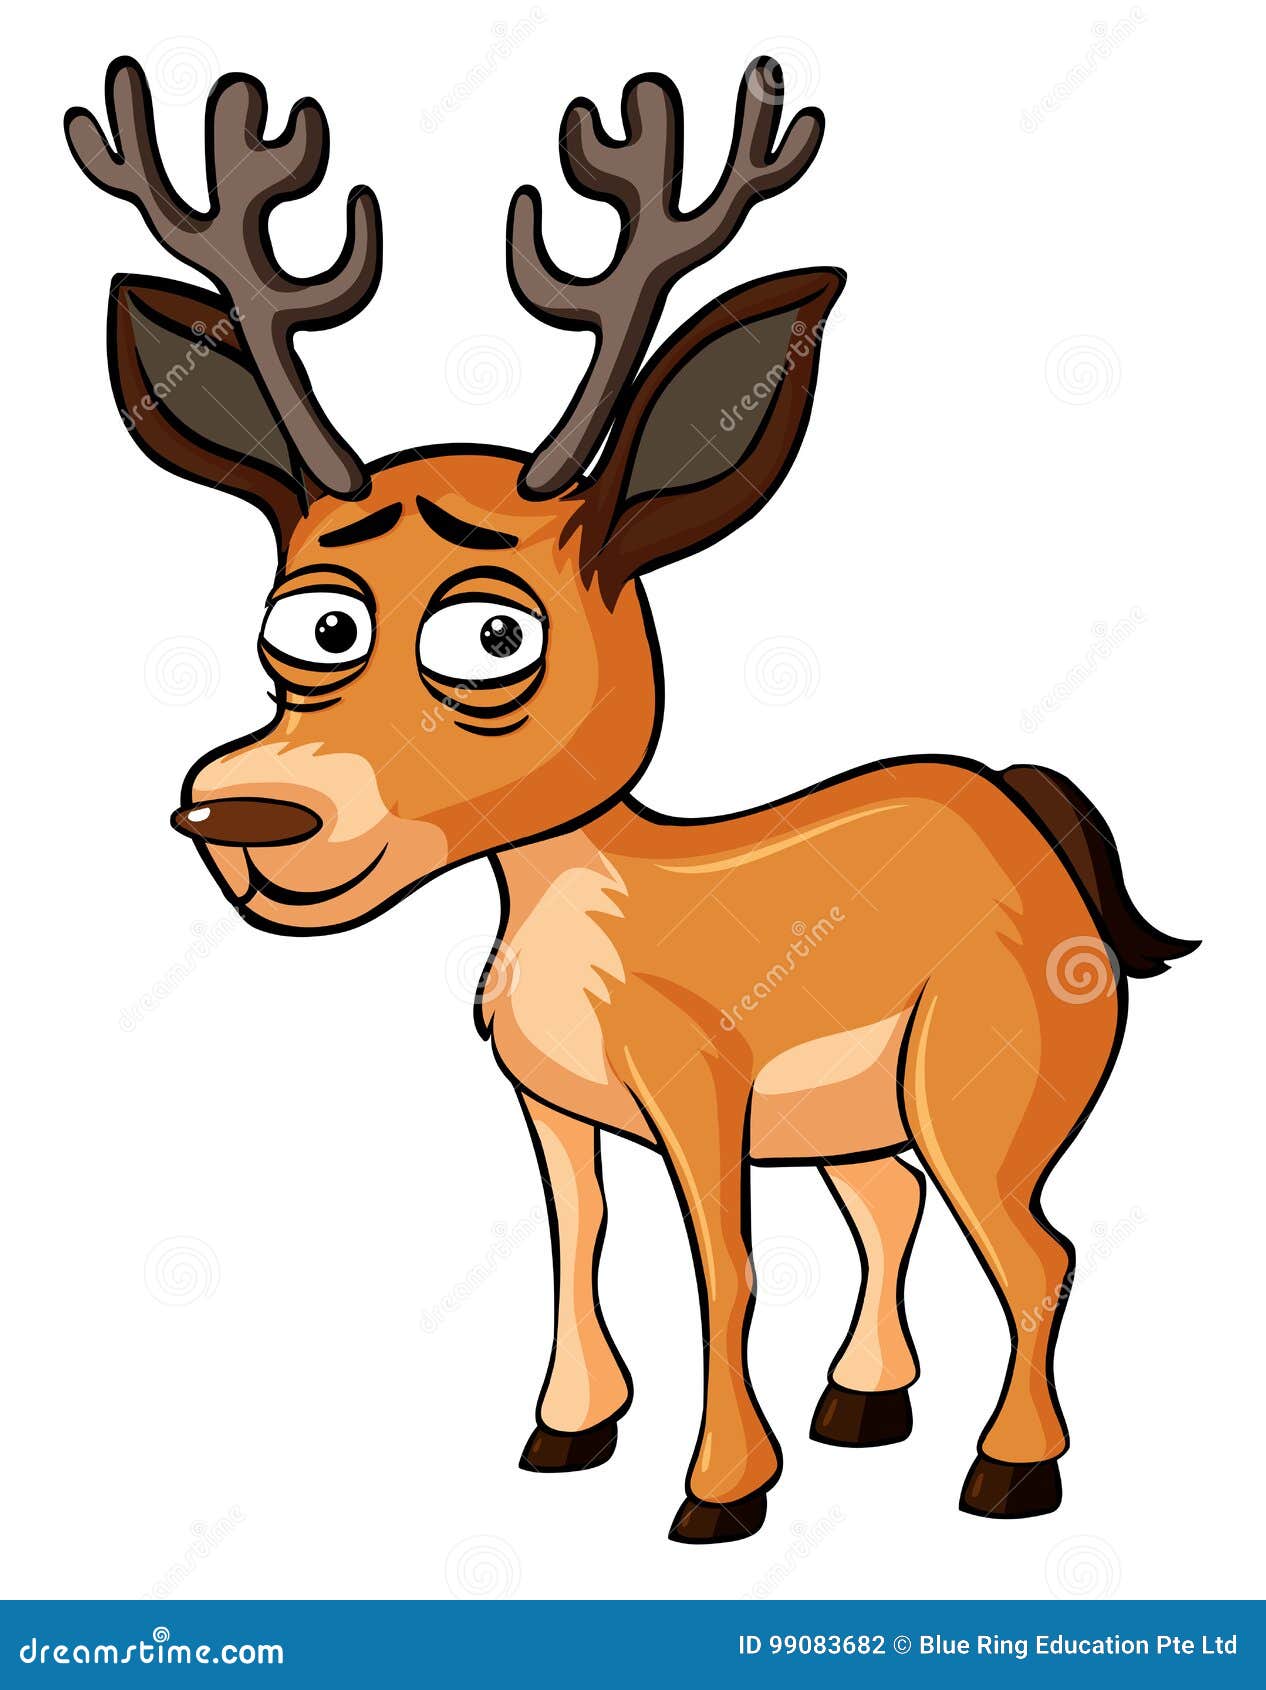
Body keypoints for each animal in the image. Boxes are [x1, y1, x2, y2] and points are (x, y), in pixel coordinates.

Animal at [66, 55, 1195, 1545]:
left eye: (493, 635)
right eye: (307, 622)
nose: (246, 814)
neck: (587, 916)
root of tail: (1019, 807)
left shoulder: (700, 1089)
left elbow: (723, 1263)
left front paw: (720, 1493)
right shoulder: (549, 1105)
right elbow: (580, 1239)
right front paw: (567, 1431)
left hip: (982, 1086)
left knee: (1034, 1247)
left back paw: (1010, 1470)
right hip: (853, 1117)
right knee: (890, 1208)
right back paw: (864, 1404)